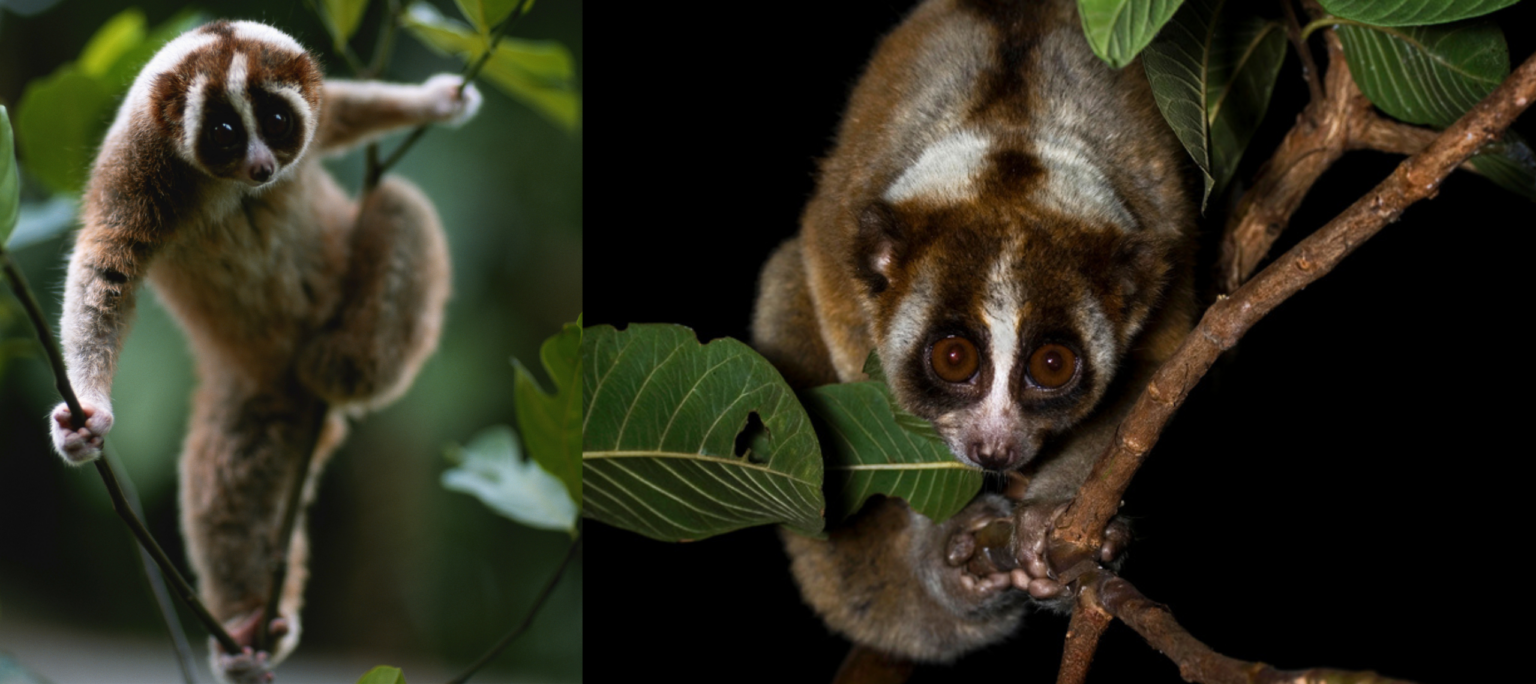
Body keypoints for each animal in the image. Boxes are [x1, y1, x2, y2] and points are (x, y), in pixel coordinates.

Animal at [44, 19, 479, 682]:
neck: (225, 185)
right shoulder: (135, 165)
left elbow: (342, 112)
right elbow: (107, 264)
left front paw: (436, 101)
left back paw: (344, 367)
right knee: (224, 473)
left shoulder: (312, 124)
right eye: (224, 132)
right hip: (256, 390)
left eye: (275, 120)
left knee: (401, 201)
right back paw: (251, 631)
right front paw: (87, 415)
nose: (261, 163)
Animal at [750, 0, 1197, 664]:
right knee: (786, 281)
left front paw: (1050, 519)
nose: (995, 450)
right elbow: (844, 329)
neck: (1013, 145)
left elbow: (1155, 381)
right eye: (954, 359)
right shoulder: (838, 228)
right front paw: (947, 542)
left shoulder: (1164, 242)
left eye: (1052, 366)